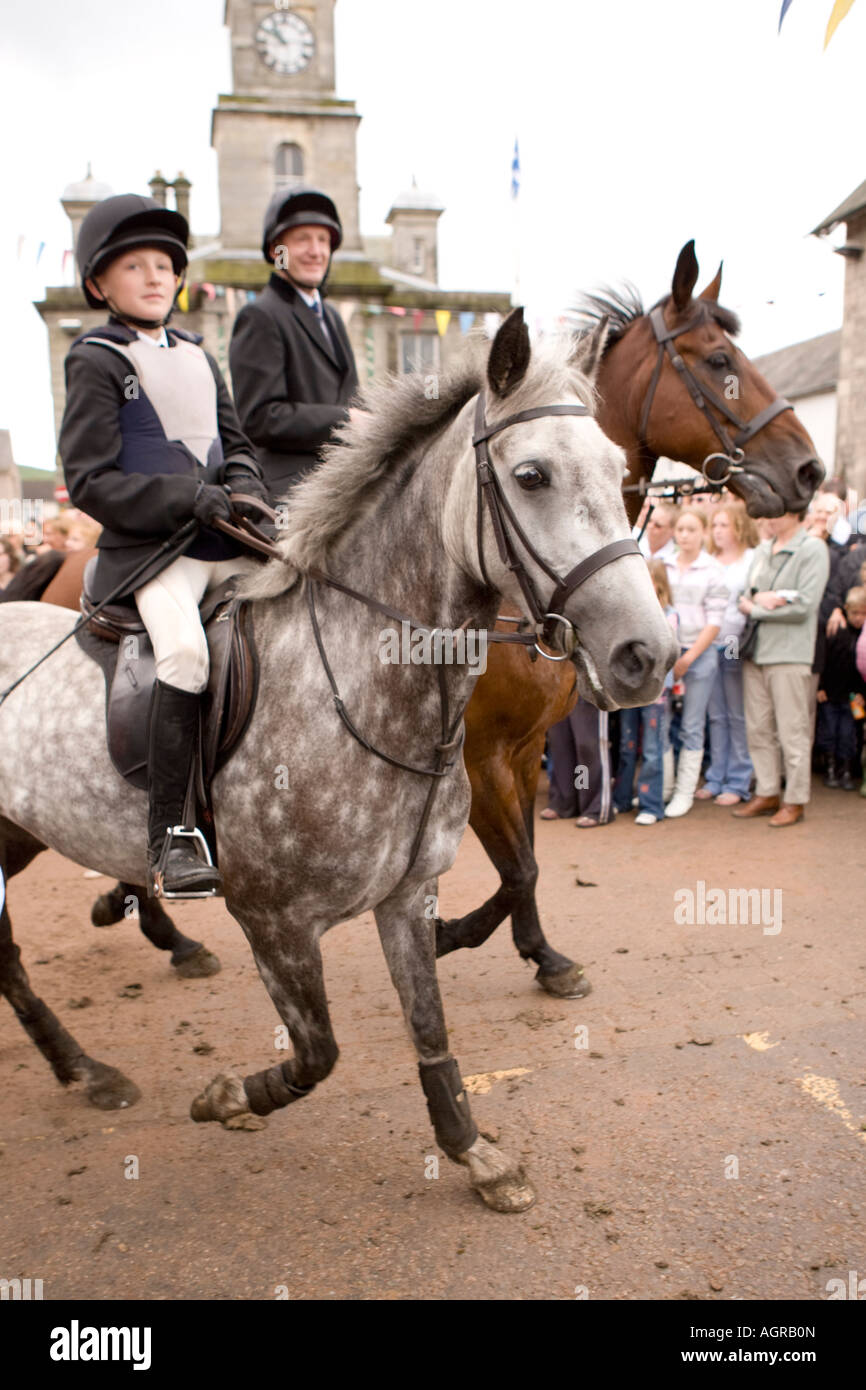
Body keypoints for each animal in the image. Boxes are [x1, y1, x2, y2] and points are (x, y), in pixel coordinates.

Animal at [0, 309, 678, 1212]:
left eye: (617, 469)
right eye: (531, 475)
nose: (649, 654)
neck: (361, 682)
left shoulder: (408, 892)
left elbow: (430, 1024)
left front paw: (471, 1149)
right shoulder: (273, 920)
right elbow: (319, 1054)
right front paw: (228, 1098)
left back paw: (90, 1044)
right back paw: (91, 1062)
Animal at [32, 244, 817, 1000]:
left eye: (613, 462)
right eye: (719, 362)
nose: (808, 471)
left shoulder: (525, 750)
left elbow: (526, 865)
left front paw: (538, 953)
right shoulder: (481, 758)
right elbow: (519, 869)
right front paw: (457, 935)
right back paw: (159, 920)